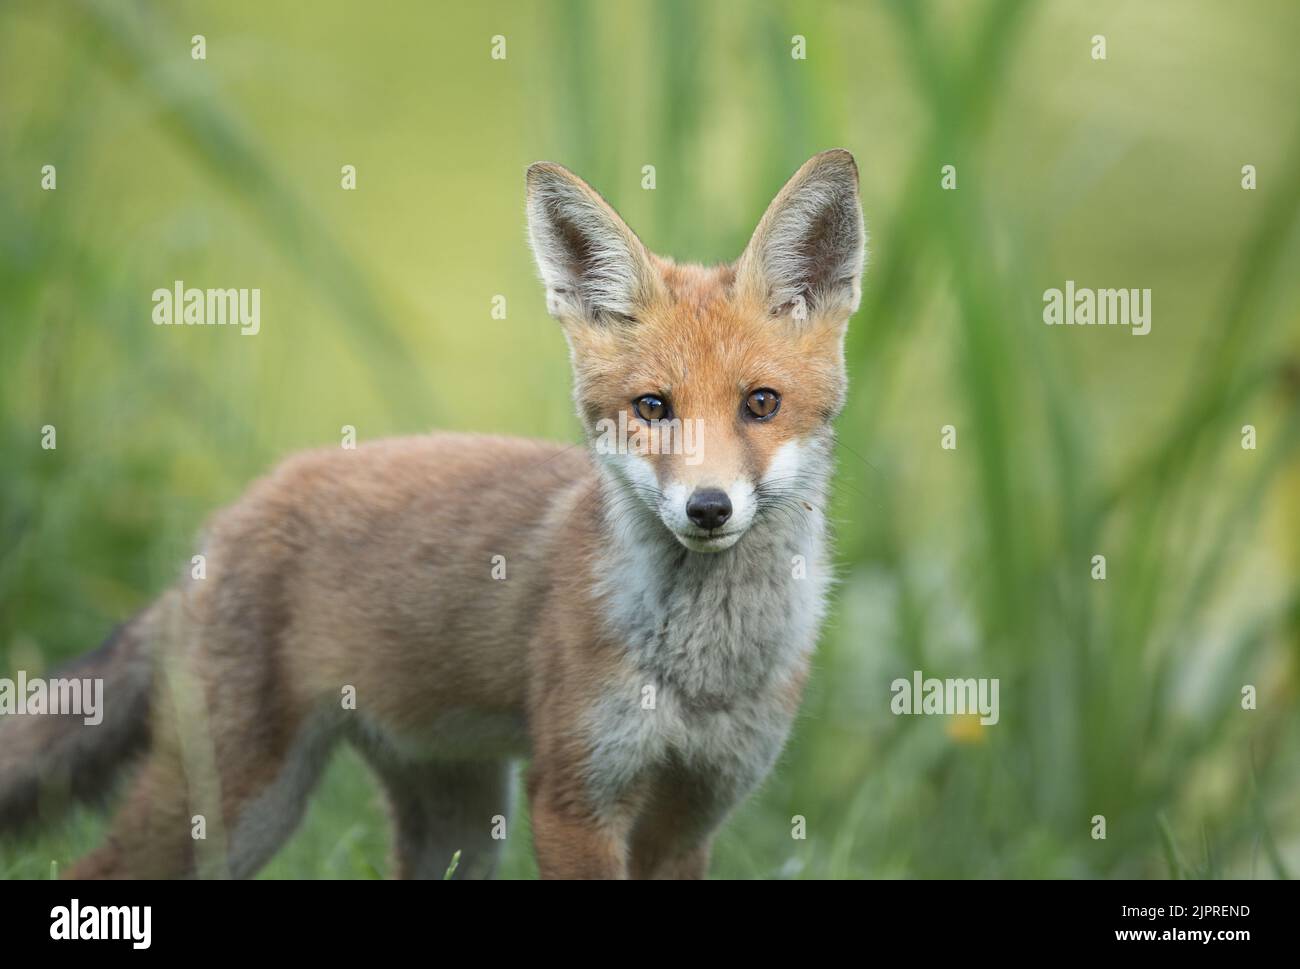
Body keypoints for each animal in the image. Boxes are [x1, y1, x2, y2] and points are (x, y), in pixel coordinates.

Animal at [0, 149, 866, 879]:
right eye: (653, 406)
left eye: (761, 403)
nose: (708, 507)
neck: (703, 673)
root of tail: (234, 512)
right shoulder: (575, 802)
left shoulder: (690, 815)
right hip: (234, 808)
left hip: (460, 819)